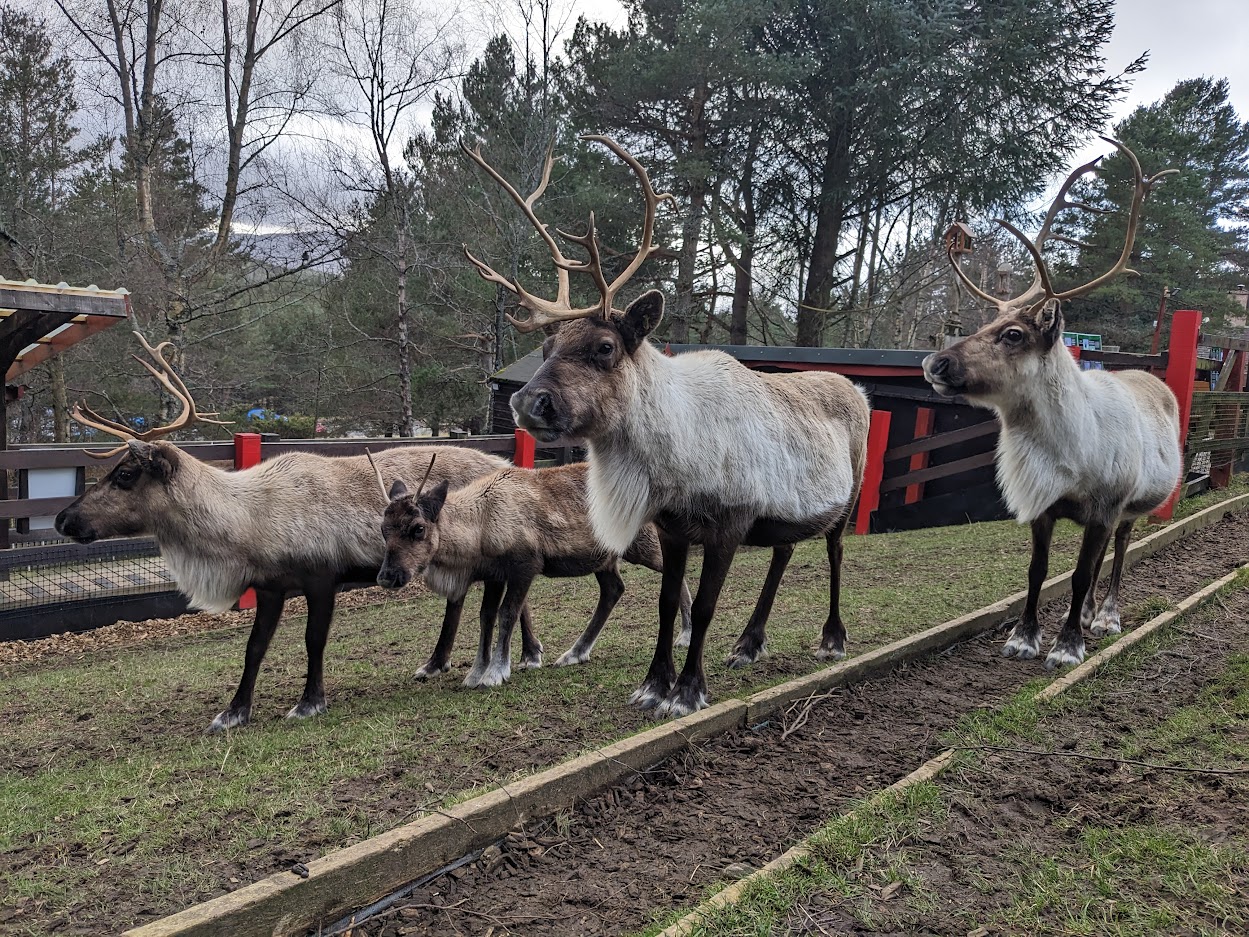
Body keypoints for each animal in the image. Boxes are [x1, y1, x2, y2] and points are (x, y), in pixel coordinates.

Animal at [54, 333, 523, 731]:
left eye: (125, 474)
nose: (63, 519)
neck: (247, 523)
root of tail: (506, 463)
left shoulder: (321, 578)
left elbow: (314, 641)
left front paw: (309, 702)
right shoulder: (269, 586)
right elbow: (254, 648)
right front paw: (233, 713)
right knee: (456, 599)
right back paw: (435, 663)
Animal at [373, 458, 694, 686]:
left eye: (418, 528)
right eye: (383, 528)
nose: (387, 576)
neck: (480, 524)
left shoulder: (524, 566)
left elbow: (507, 614)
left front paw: (496, 673)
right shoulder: (494, 575)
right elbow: (486, 617)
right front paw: (476, 672)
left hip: (643, 547)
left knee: (675, 575)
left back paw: (686, 634)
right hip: (604, 559)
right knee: (614, 589)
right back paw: (575, 653)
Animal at [462, 136, 871, 717]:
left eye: (604, 347)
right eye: (547, 345)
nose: (526, 401)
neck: (671, 458)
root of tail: (857, 389)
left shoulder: (728, 524)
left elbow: (702, 607)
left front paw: (687, 692)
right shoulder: (673, 527)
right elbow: (665, 601)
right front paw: (654, 685)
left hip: (849, 491)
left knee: (835, 550)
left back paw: (832, 638)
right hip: (785, 513)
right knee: (786, 549)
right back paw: (748, 644)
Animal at [922, 139, 1182, 670]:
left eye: (1013, 334)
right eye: (982, 324)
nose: (935, 362)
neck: (1069, 451)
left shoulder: (1105, 506)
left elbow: (1081, 572)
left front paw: (1066, 647)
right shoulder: (1044, 508)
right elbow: (1037, 571)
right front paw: (1024, 637)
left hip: (1134, 505)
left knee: (1118, 550)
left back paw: (1104, 617)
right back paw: (1083, 614)